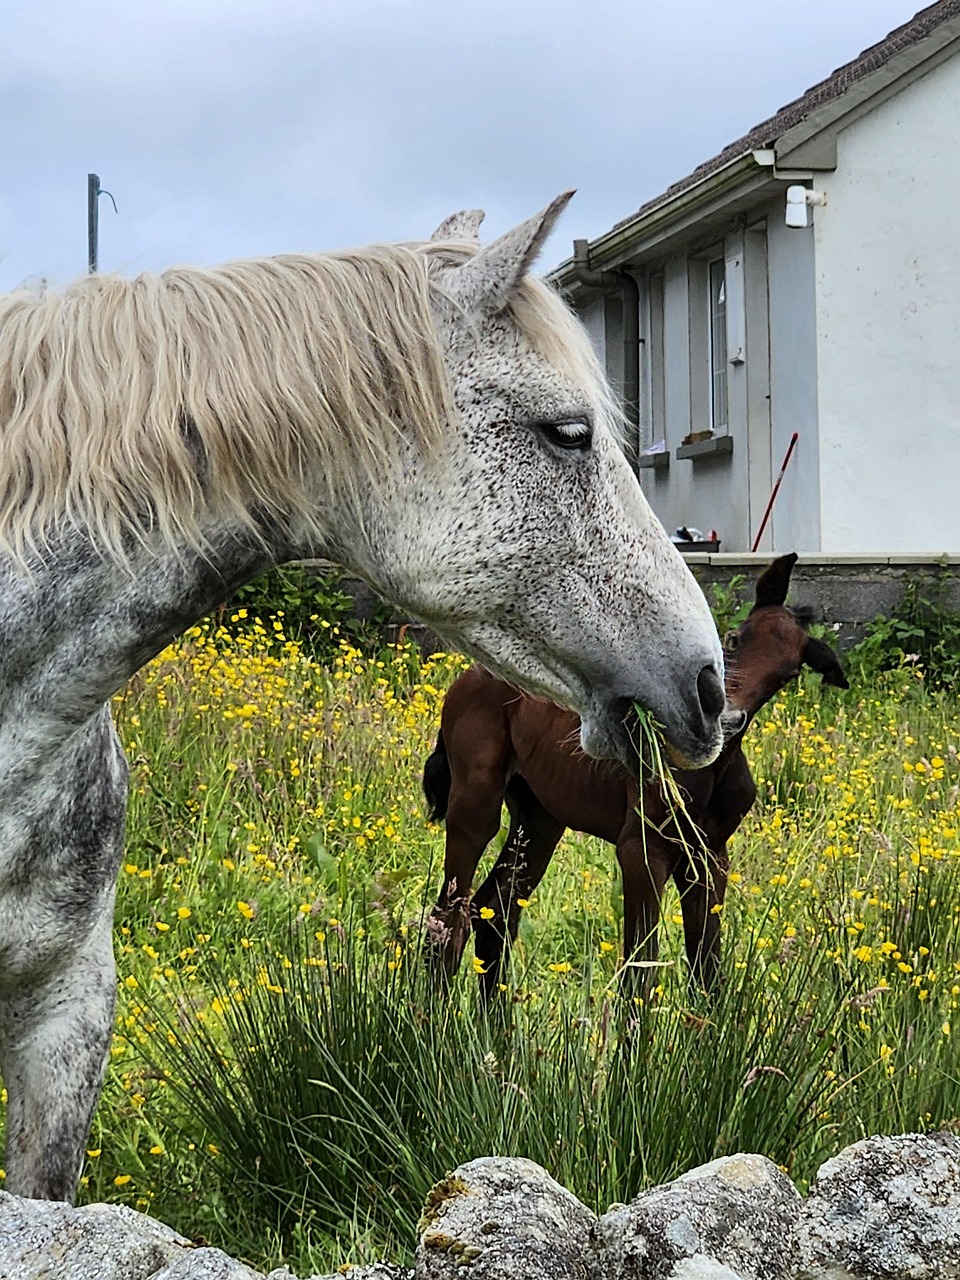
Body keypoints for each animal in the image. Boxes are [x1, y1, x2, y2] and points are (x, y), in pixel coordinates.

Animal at [422, 553, 848, 998]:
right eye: (734, 639)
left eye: (788, 675)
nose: (728, 718)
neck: (710, 772)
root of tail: (468, 679)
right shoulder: (641, 850)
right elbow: (640, 971)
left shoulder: (710, 858)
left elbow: (706, 966)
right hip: (476, 801)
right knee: (449, 919)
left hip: (539, 819)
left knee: (495, 909)